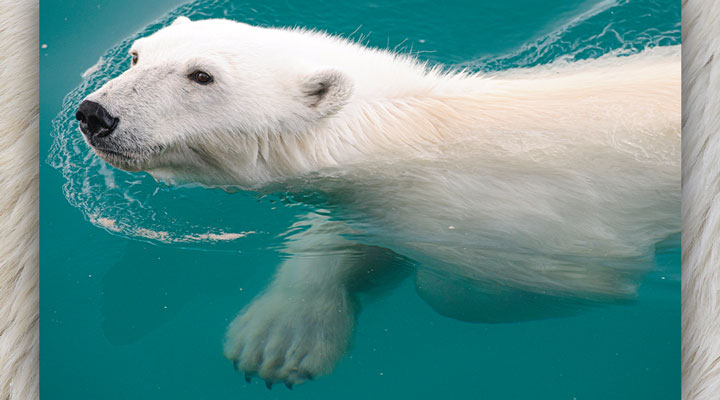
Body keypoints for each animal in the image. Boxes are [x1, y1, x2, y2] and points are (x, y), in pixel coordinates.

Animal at [75, 16, 680, 389]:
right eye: (137, 55)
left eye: (202, 75)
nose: (94, 114)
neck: (416, 131)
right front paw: (278, 340)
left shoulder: (544, 221)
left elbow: (457, 285)